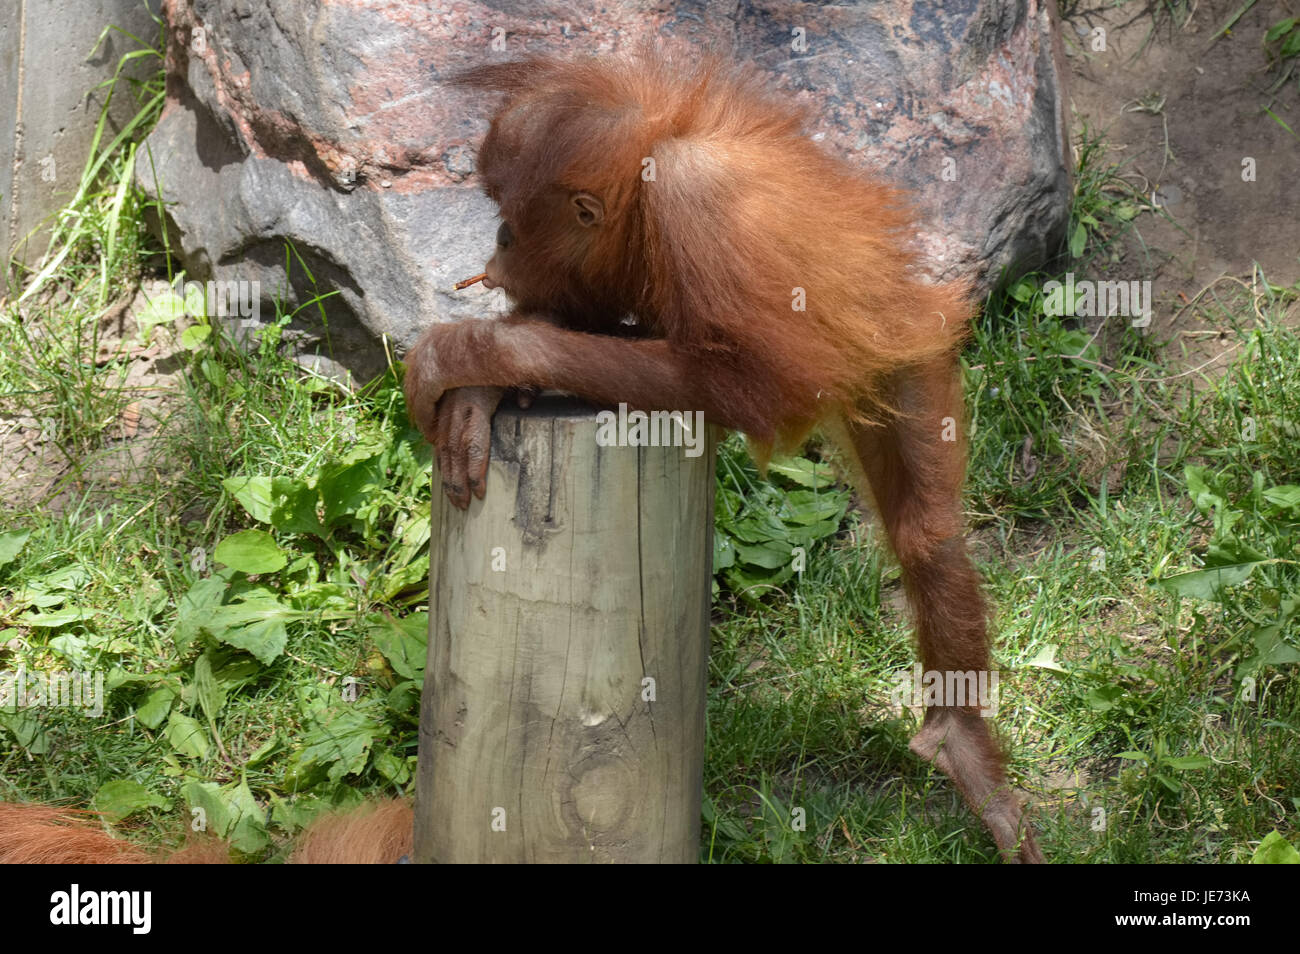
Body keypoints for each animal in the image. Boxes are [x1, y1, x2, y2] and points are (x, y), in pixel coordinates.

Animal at [403, 47, 1044, 863]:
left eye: (510, 231)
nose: (493, 254)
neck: (647, 165)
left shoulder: (694, 204)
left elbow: (739, 384)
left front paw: (470, 353)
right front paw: (483, 388)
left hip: (907, 351)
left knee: (926, 536)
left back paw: (958, 746)